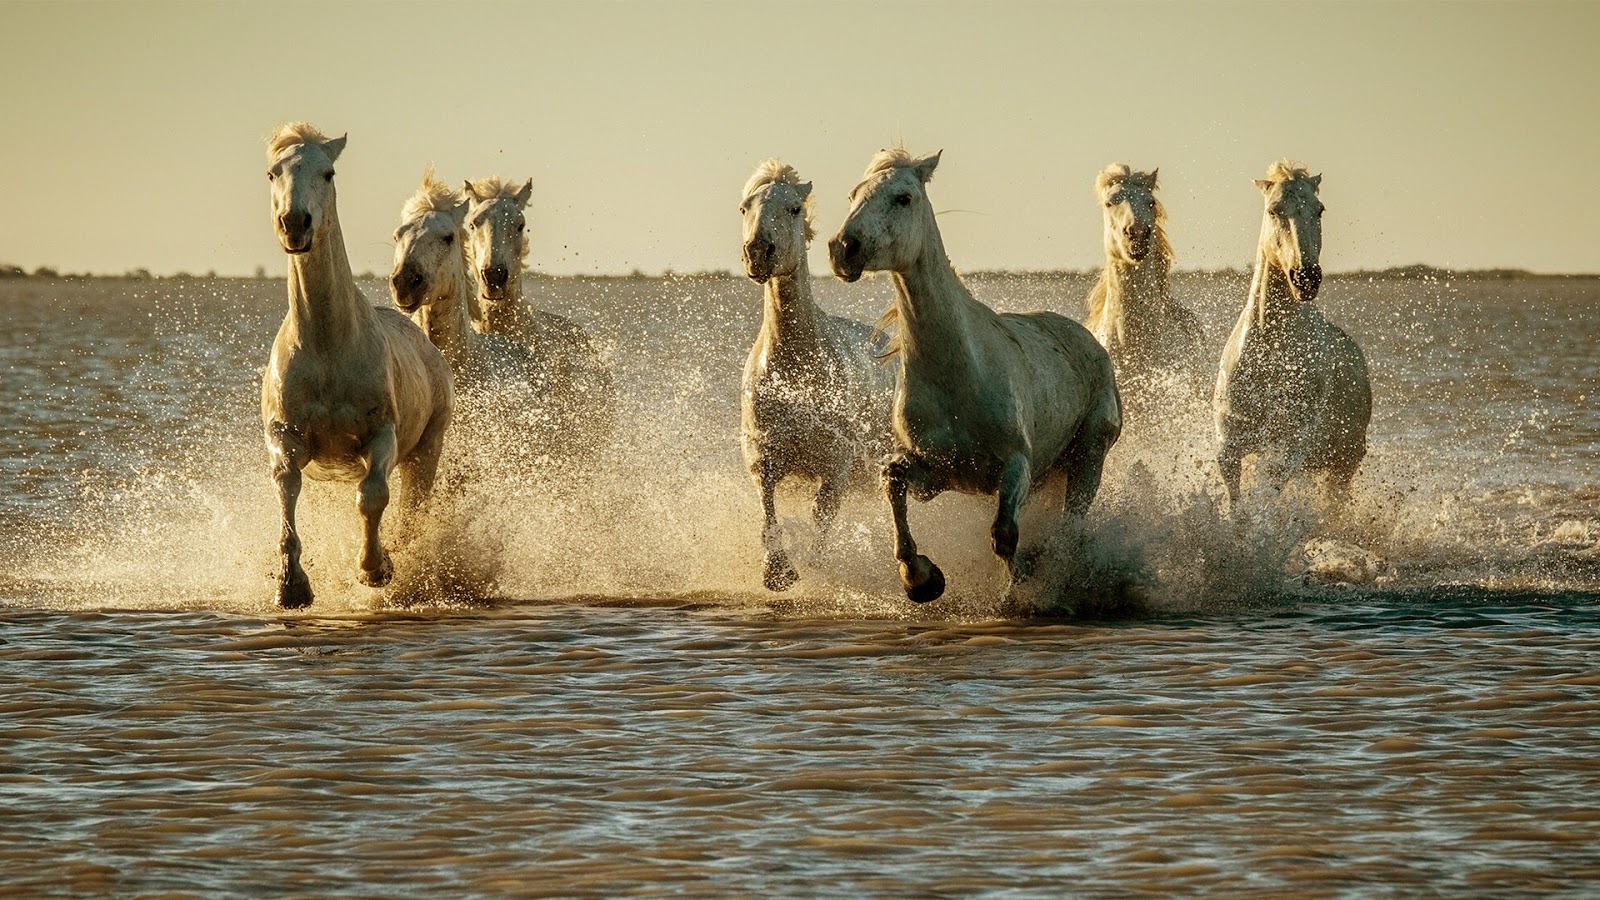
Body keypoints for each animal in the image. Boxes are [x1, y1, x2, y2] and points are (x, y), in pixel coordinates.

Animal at [261, 124, 454, 609]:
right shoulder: (285, 436)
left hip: (427, 448)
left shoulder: (380, 435)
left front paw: (376, 567)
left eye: (328, 173)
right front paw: (292, 586)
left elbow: (372, 497)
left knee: (411, 509)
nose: (295, 223)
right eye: (273, 172)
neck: (329, 347)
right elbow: (286, 490)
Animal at [737, 159, 896, 592]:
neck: (795, 372)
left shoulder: (836, 464)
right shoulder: (763, 457)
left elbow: (822, 514)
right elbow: (767, 512)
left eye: (794, 208)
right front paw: (777, 571)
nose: (758, 252)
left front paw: (817, 567)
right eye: (745, 207)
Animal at [828, 149, 1122, 603]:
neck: (958, 376)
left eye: (903, 197)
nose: (844, 249)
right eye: (853, 195)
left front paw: (1019, 590)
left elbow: (1004, 535)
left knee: (1071, 525)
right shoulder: (935, 473)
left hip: (1089, 454)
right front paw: (922, 578)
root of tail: (1091, 342)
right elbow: (893, 480)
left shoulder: (1016, 465)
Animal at [1213, 160, 1371, 512]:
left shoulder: (1287, 448)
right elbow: (1237, 505)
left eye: (1319, 209)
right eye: (1274, 210)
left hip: (1344, 462)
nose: (1306, 278)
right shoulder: (1230, 445)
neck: (1270, 354)